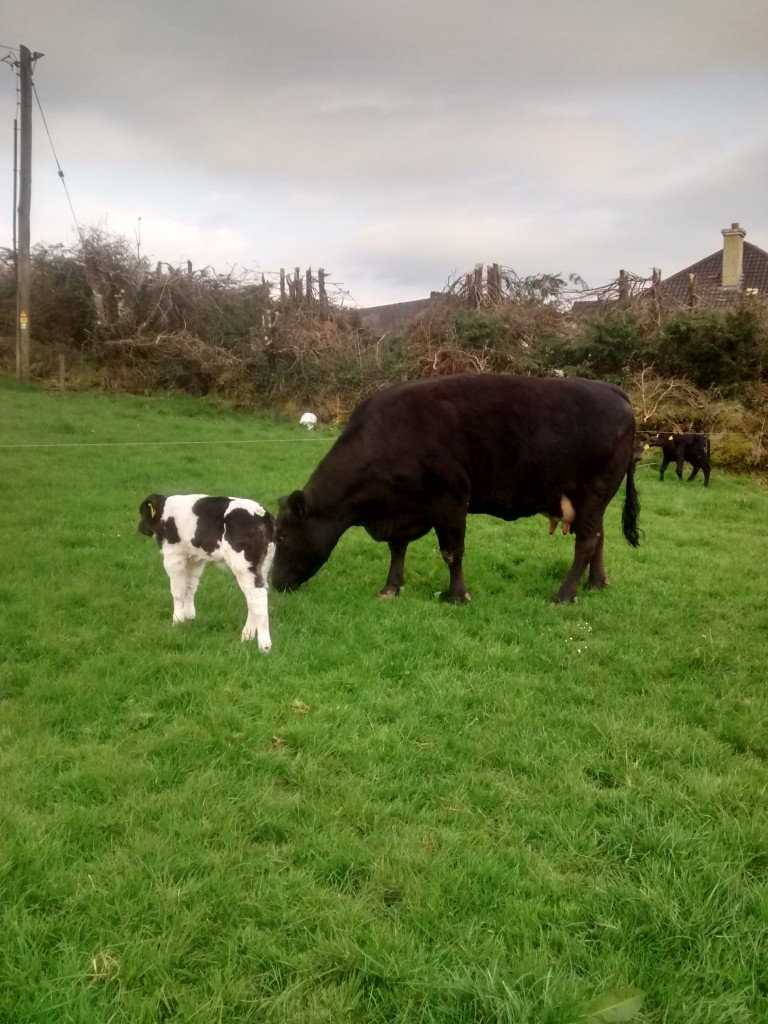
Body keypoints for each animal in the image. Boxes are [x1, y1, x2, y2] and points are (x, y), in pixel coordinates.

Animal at [138, 494, 276, 651]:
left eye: (143, 512)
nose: (139, 528)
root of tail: (263, 514)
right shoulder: (195, 559)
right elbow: (190, 587)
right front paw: (189, 617)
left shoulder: (173, 556)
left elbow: (177, 591)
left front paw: (177, 622)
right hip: (264, 564)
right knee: (256, 596)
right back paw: (247, 636)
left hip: (244, 566)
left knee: (257, 595)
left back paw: (264, 646)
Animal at [271, 374, 640, 605]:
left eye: (283, 537)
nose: (274, 583)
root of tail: (611, 390)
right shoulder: (404, 507)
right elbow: (397, 548)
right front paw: (391, 587)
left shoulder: (449, 498)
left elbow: (452, 551)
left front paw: (456, 596)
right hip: (590, 500)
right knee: (598, 538)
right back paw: (596, 583)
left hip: (593, 491)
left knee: (586, 542)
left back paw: (564, 595)